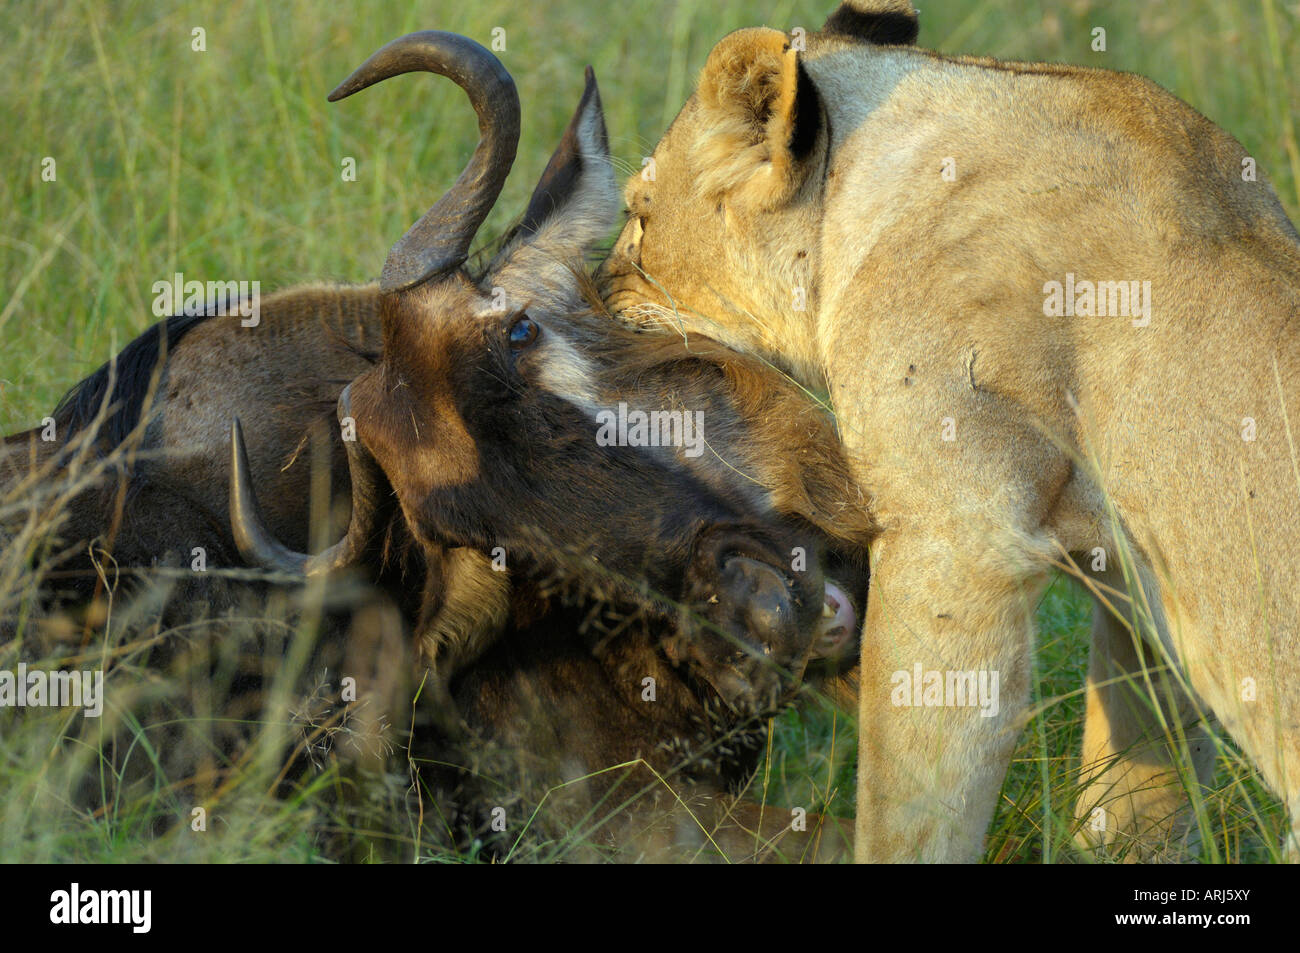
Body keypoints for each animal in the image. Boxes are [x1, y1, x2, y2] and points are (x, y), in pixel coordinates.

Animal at [600, 0, 1300, 861]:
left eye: (638, 216)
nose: (592, 294)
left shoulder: (959, 541)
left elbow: (907, 804)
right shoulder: (1135, 591)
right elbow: (1135, 802)